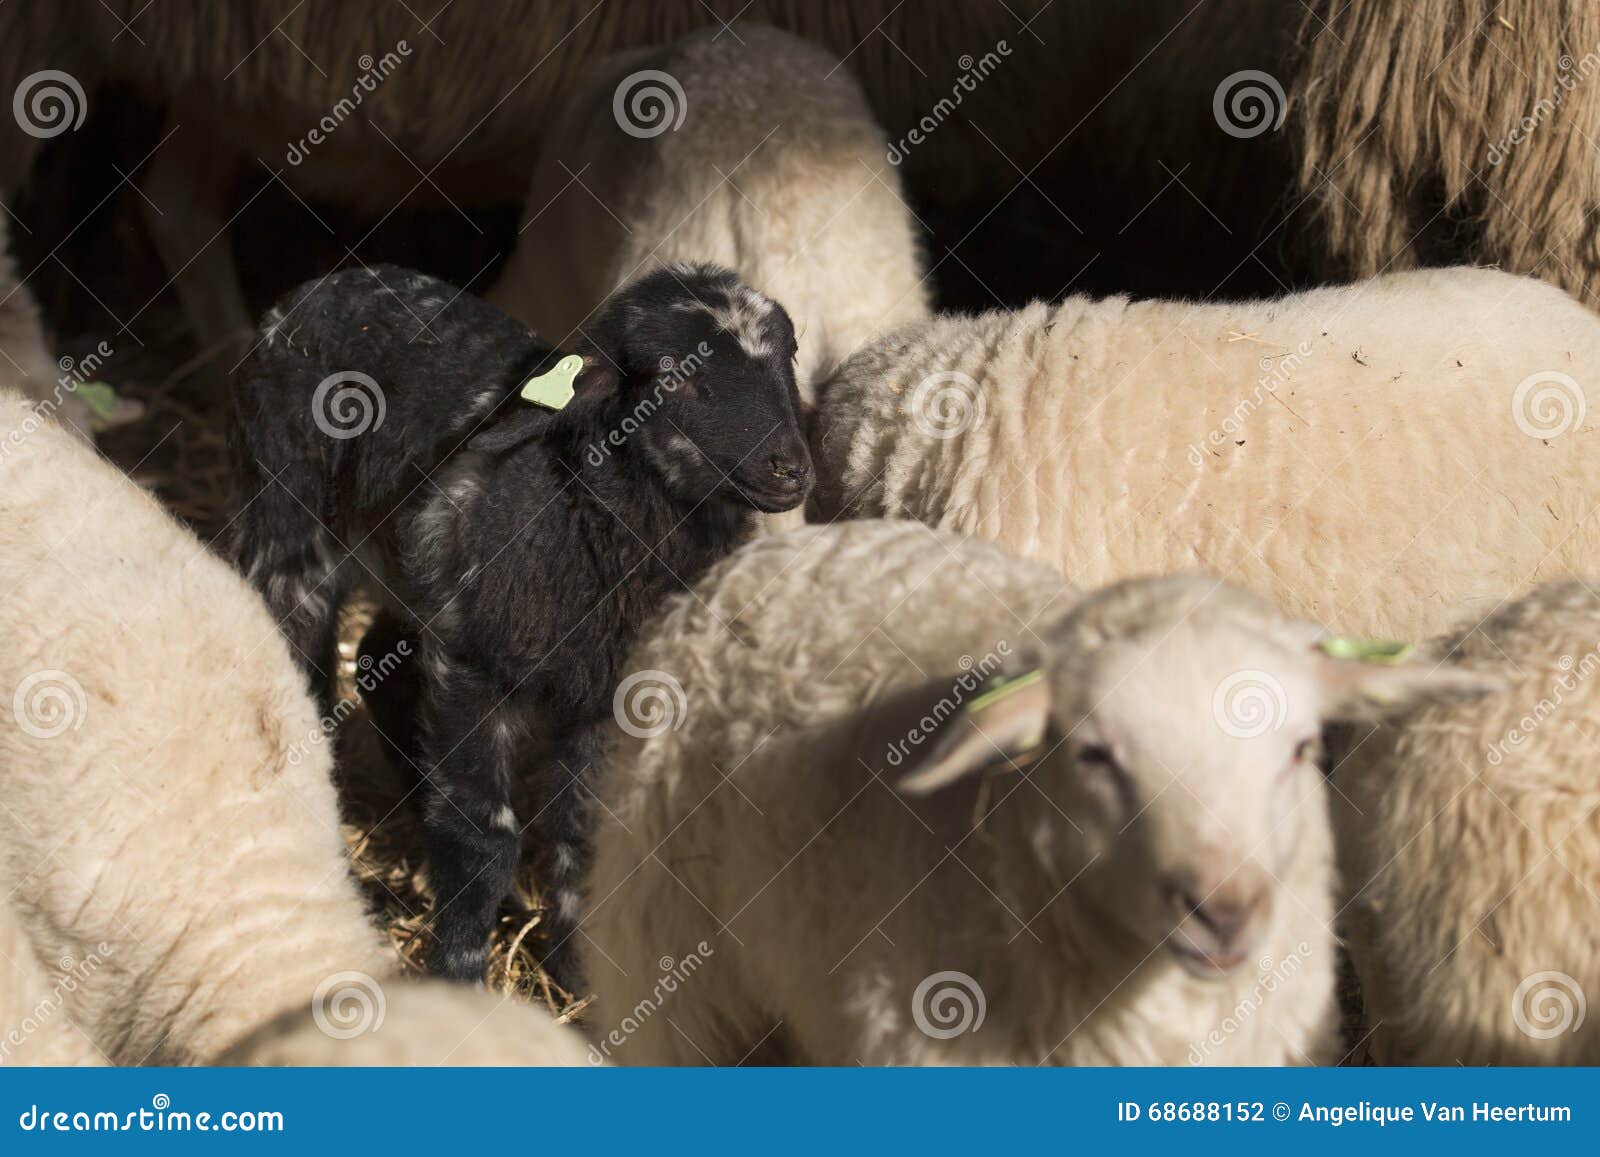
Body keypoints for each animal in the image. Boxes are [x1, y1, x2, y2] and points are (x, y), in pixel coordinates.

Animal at [230, 261, 811, 989]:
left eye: (789, 361)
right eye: (674, 375)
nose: (790, 468)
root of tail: (325, 283)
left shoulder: (610, 697)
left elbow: (583, 834)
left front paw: (578, 972)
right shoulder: (472, 668)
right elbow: (483, 837)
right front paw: (461, 976)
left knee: (376, 659)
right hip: (288, 522)